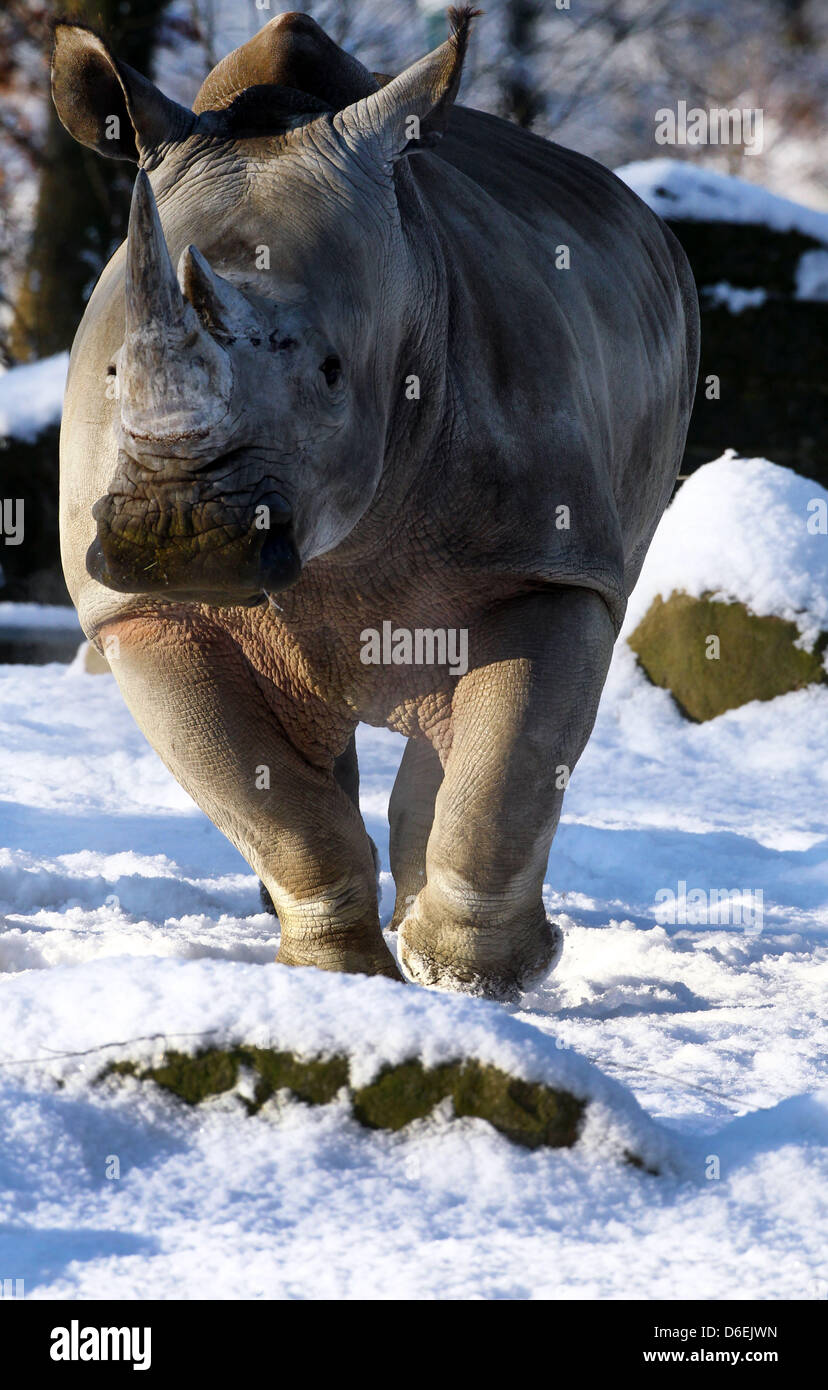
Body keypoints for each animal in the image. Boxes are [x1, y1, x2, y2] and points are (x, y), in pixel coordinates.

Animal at [52, 8, 698, 1001]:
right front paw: (341, 976)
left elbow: (503, 772)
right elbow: (272, 807)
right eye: (119, 370)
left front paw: (467, 977)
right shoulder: (140, 611)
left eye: (331, 372)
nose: (183, 531)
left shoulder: (549, 568)